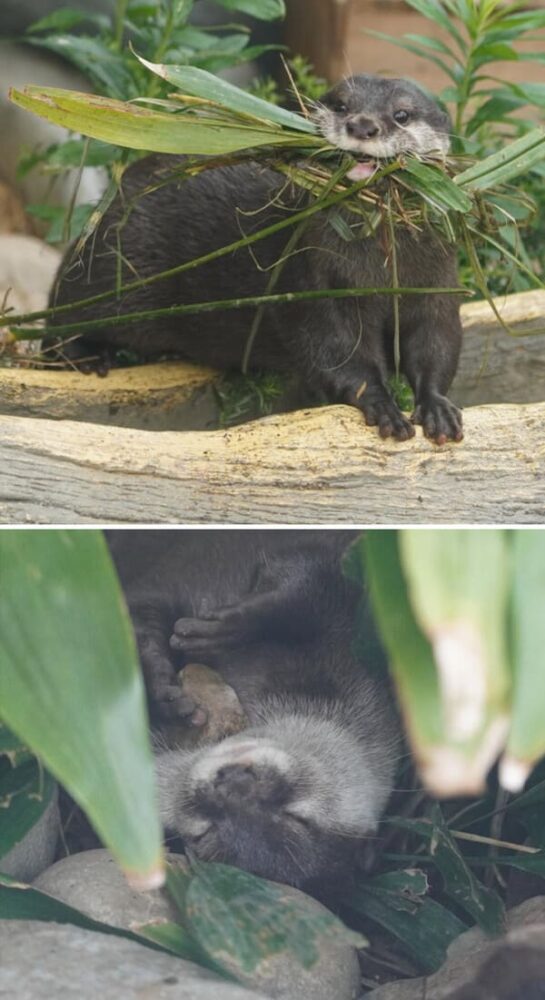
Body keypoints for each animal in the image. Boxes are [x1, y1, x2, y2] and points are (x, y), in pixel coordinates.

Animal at [46, 74, 463, 444]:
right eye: (341, 105)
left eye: (402, 114)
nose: (362, 125)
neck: (381, 275)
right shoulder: (314, 284)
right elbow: (338, 354)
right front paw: (383, 406)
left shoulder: (437, 286)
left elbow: (437, 345)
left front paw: (437, 406)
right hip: (108, 267)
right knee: (61, 316)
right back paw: (88, 356)